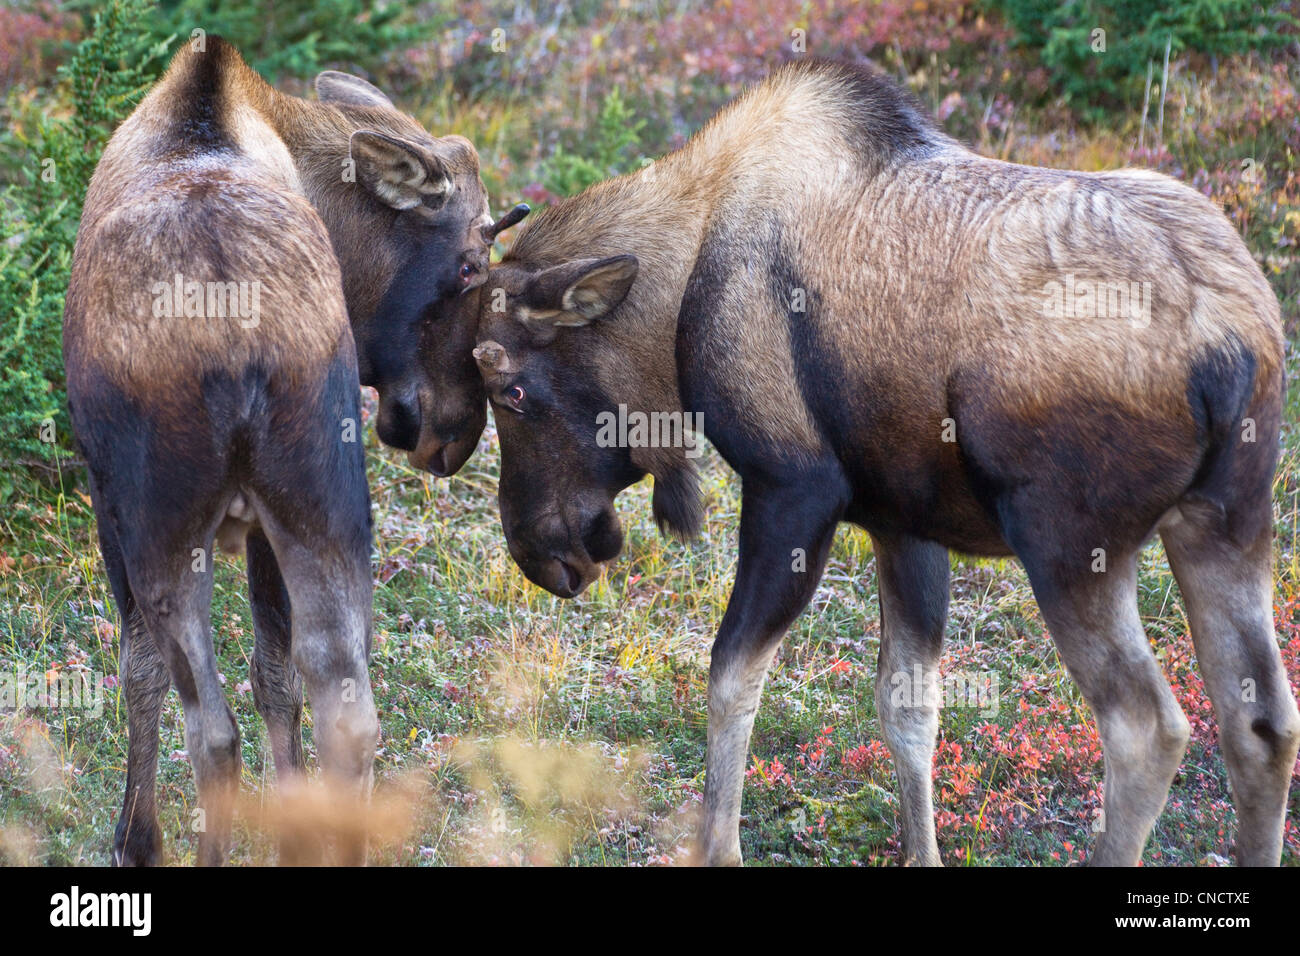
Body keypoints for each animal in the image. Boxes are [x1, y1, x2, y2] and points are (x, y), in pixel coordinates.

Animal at [63, 35, 517, 865]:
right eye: (470, 262)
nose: (459, 435)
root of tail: (238, 338)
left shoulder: (107, 501)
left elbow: (139, 671)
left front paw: (134, 839)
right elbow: (278, 677)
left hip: (162, 525)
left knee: (211, 733)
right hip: (325, 500)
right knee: (347, 708)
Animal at [470, 59, 1300, 865]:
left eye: (509, 387)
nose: (539, 550)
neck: (672, 308)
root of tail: (1230, 346)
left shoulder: (793, 487)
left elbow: (730, 678)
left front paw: (719, 845)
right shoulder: (905, 523)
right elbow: (908, 707)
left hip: (1068, 540)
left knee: (1146, 728)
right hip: (1229, 519)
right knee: (1262, 722)